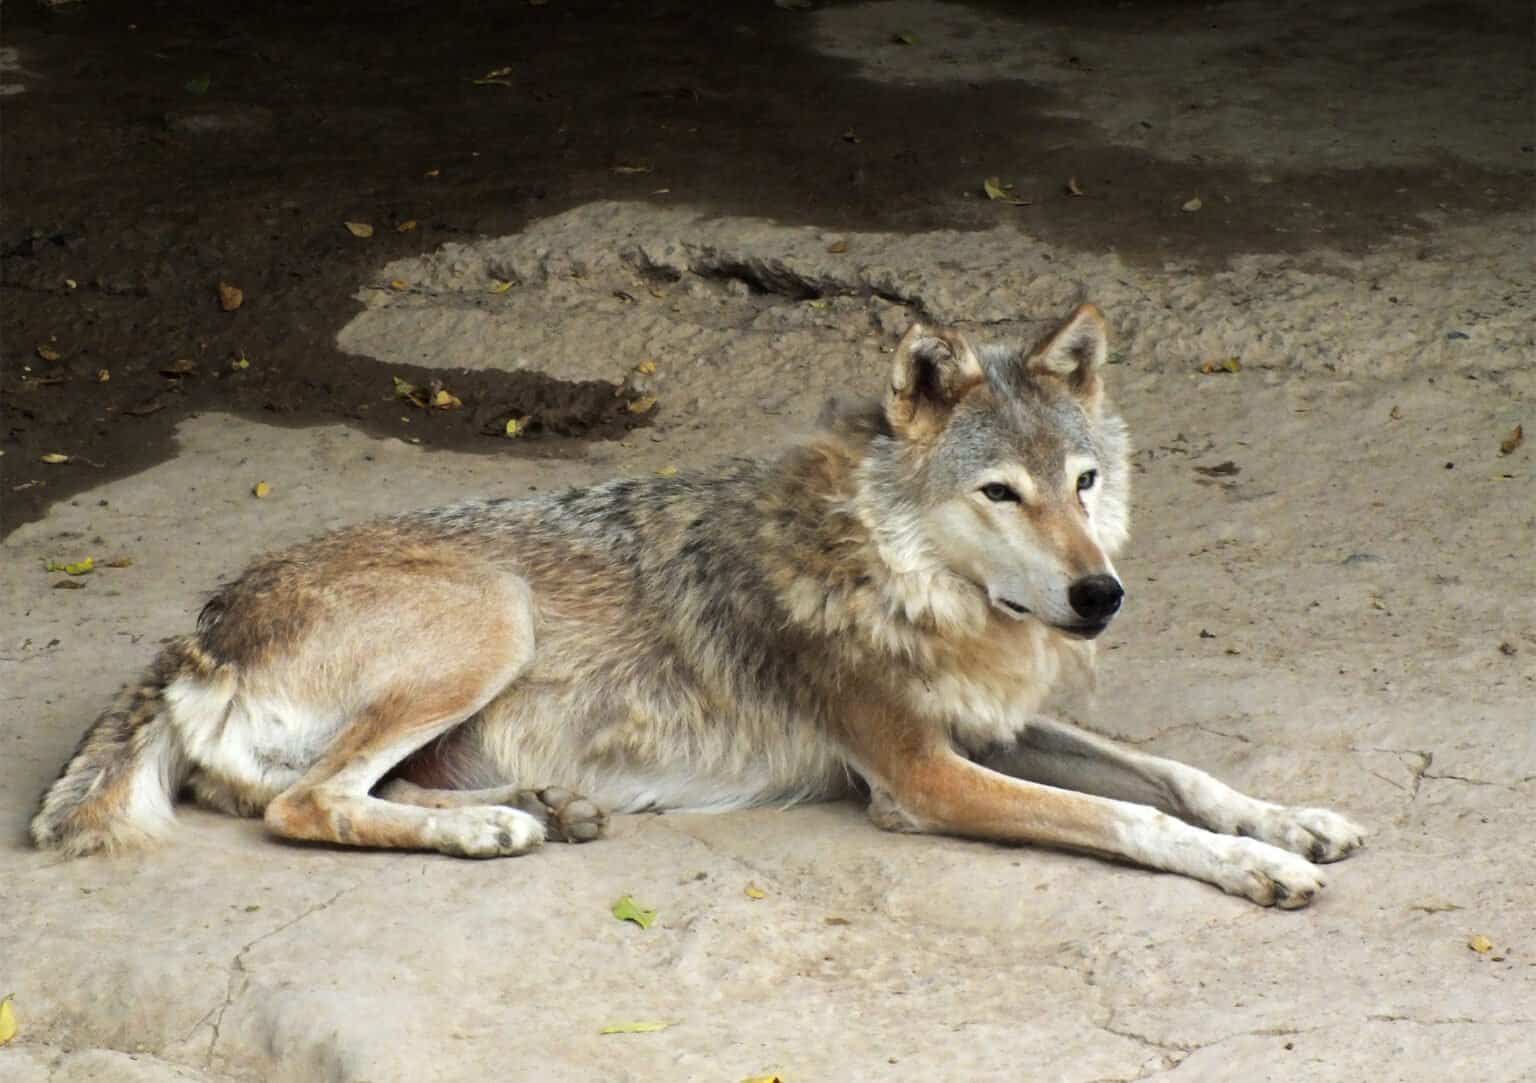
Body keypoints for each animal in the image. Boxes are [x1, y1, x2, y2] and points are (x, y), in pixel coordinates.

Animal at [32, 304, 1364, 907]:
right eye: (1001, 493)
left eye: (1084, 482)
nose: (1100, 594)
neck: (891, 568)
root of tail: (194, 631)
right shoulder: (921, 779)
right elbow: (1132, 816)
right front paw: (1255, 868)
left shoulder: (984, 722)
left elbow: (1172, 770)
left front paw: (1290, 819)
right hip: (494, 616)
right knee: (303, 806)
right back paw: (491, 832)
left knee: (341, 791)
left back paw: (535, 809)